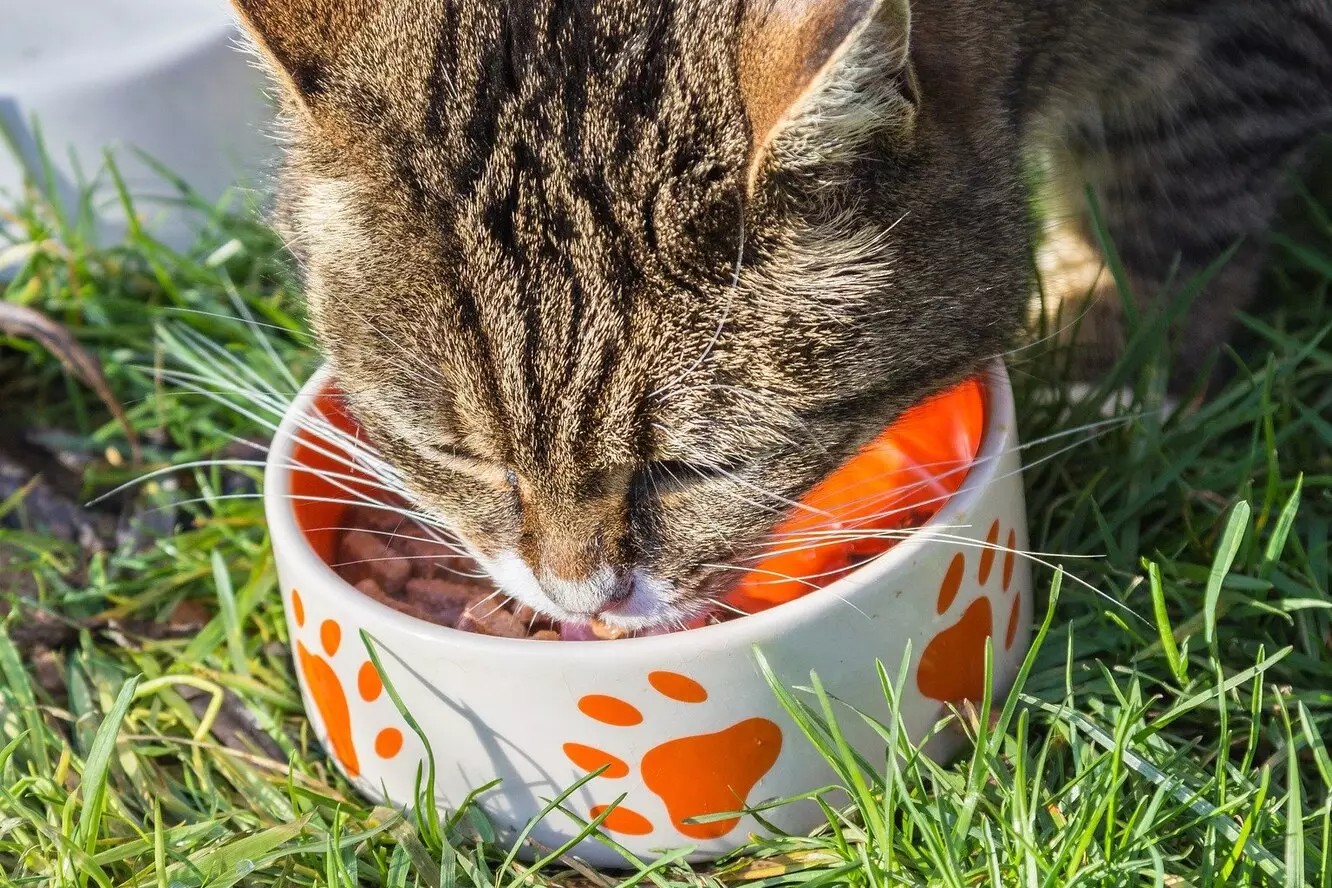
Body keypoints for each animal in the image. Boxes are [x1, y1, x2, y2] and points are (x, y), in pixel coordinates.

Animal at [231, 0, 1332, 628]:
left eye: (695, 468)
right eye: (456, 454)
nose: (579, 599)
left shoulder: (1239, 49)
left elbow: (1176, 190)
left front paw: (1120, 364)